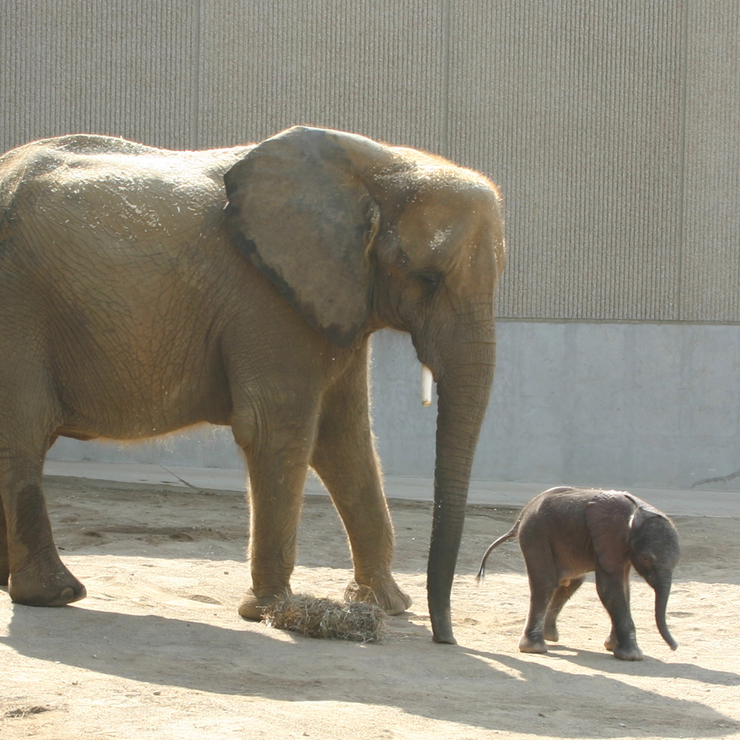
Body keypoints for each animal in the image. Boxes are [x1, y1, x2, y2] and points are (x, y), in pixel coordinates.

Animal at [0, 125, 505, 644]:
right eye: (427, 278)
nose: (445, 637)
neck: (379, 164)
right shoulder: (268, 299)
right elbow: (278, 428)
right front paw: (270, 612)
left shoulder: (338, 296)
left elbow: (344, 438)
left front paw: (385, 605)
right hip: (18, 304)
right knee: (22, 433)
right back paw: (56, 594)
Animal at [476, 486, 680, 660]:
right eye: (645, 558)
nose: (674, 647)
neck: (637, 514)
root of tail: (522, 514)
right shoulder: (607, 540)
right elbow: (609, 590)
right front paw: (632, 656)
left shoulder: (621, 548)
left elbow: (624, 588)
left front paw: (612, 646)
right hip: (534, 535)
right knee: (546, 583)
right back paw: (535, 648)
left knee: (571, 582)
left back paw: (549, 636)